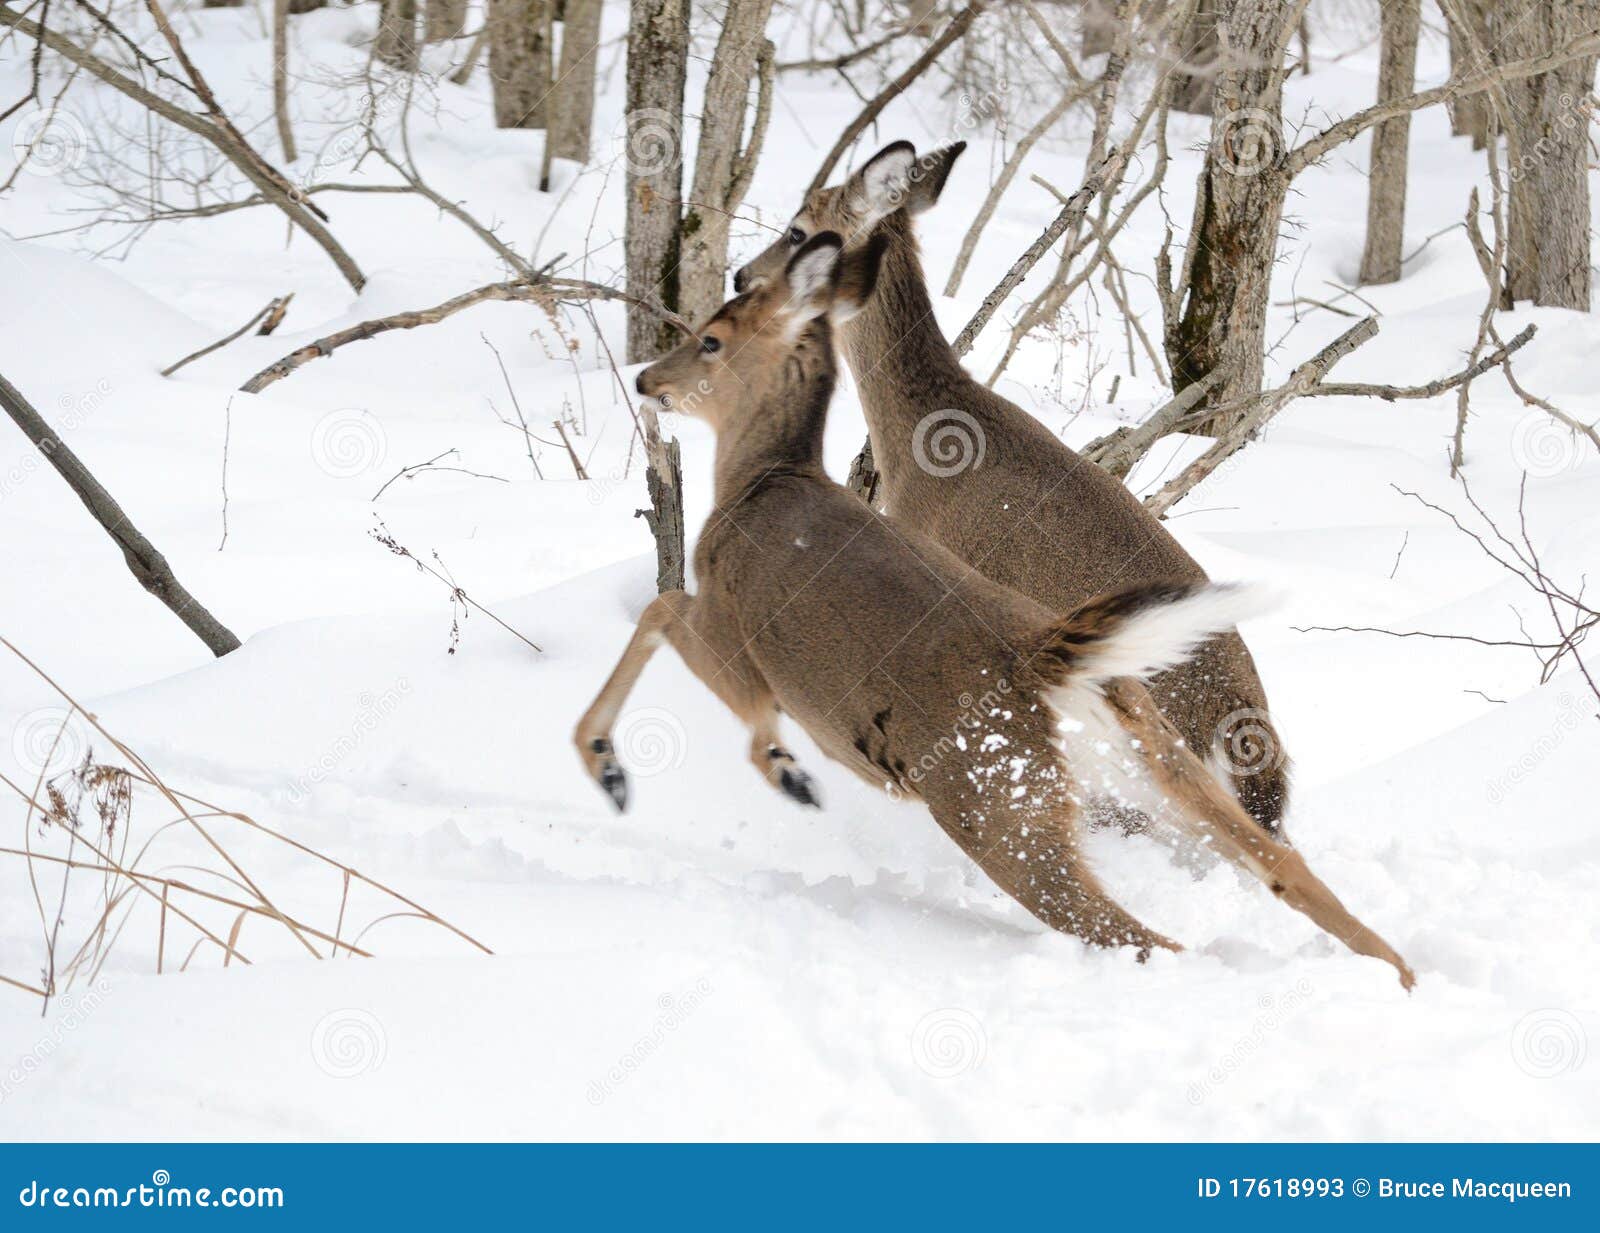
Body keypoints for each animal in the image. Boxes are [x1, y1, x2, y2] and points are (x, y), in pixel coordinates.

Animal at [573, 231, 1414, 989]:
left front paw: (645, 766)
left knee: (1144, 935)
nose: (646, 379)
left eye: (712, 337)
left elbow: (661, 609)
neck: (761, 483)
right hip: (1152, 762)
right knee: (1284, 866)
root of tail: (1047, 663)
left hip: (1001, 807)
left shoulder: (733, 633)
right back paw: (1404, 975)